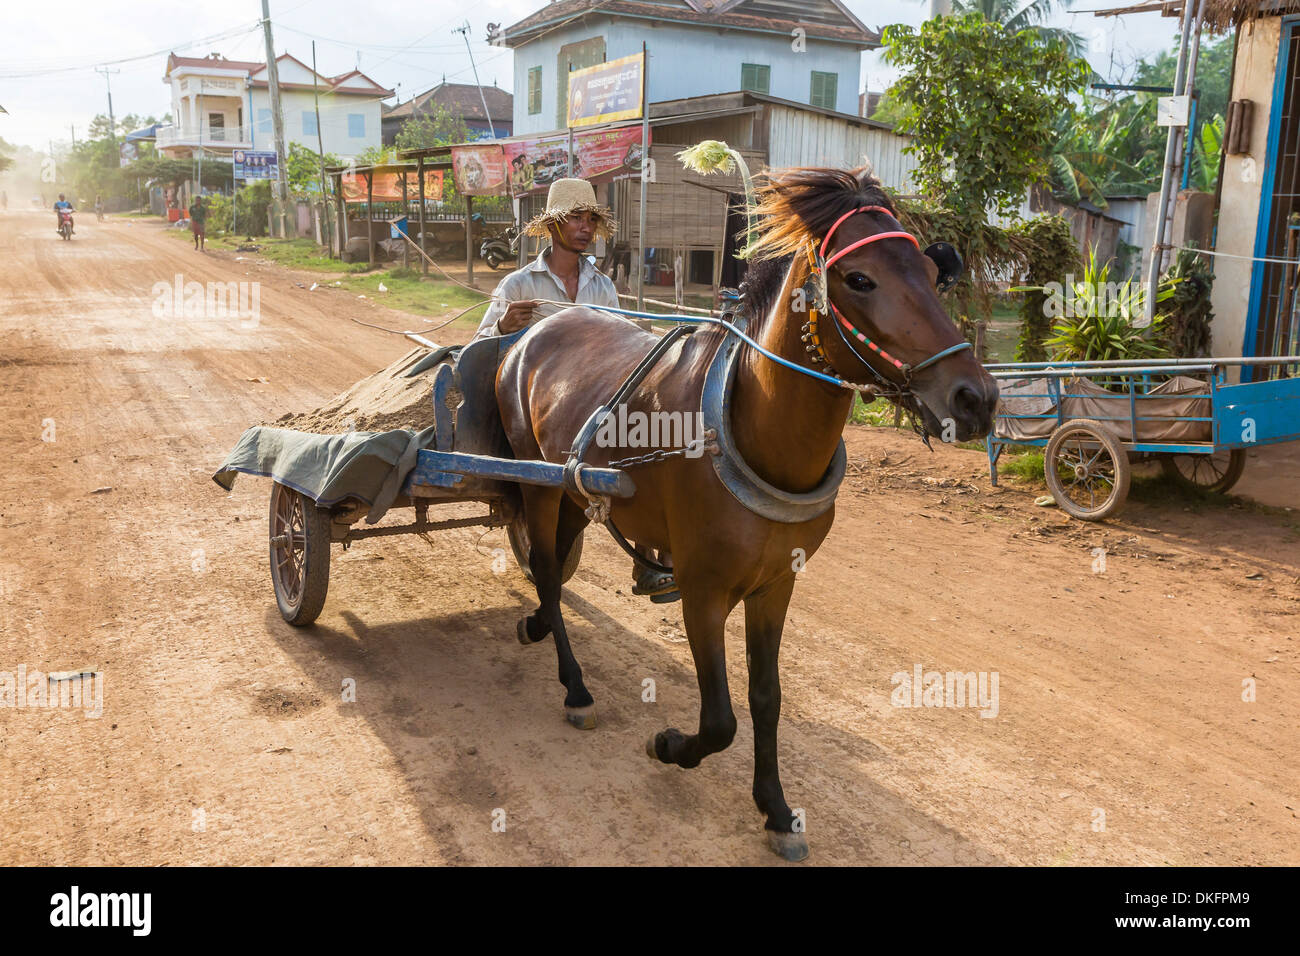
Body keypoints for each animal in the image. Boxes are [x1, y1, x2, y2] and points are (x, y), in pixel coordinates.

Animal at [494, 165, 999, 860]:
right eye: (859, 279)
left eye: (931, 270)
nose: (975, 398)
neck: (748, 425)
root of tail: (537, 326)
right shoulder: (703, 590)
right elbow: (720, 720)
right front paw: (671, 746)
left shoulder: (777, 583)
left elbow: (766, 699)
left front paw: (777, 809)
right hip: (536, 480)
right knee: (545, 568)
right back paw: (573, 683)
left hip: (574, 489)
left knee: (557, 568)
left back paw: (541, 625)